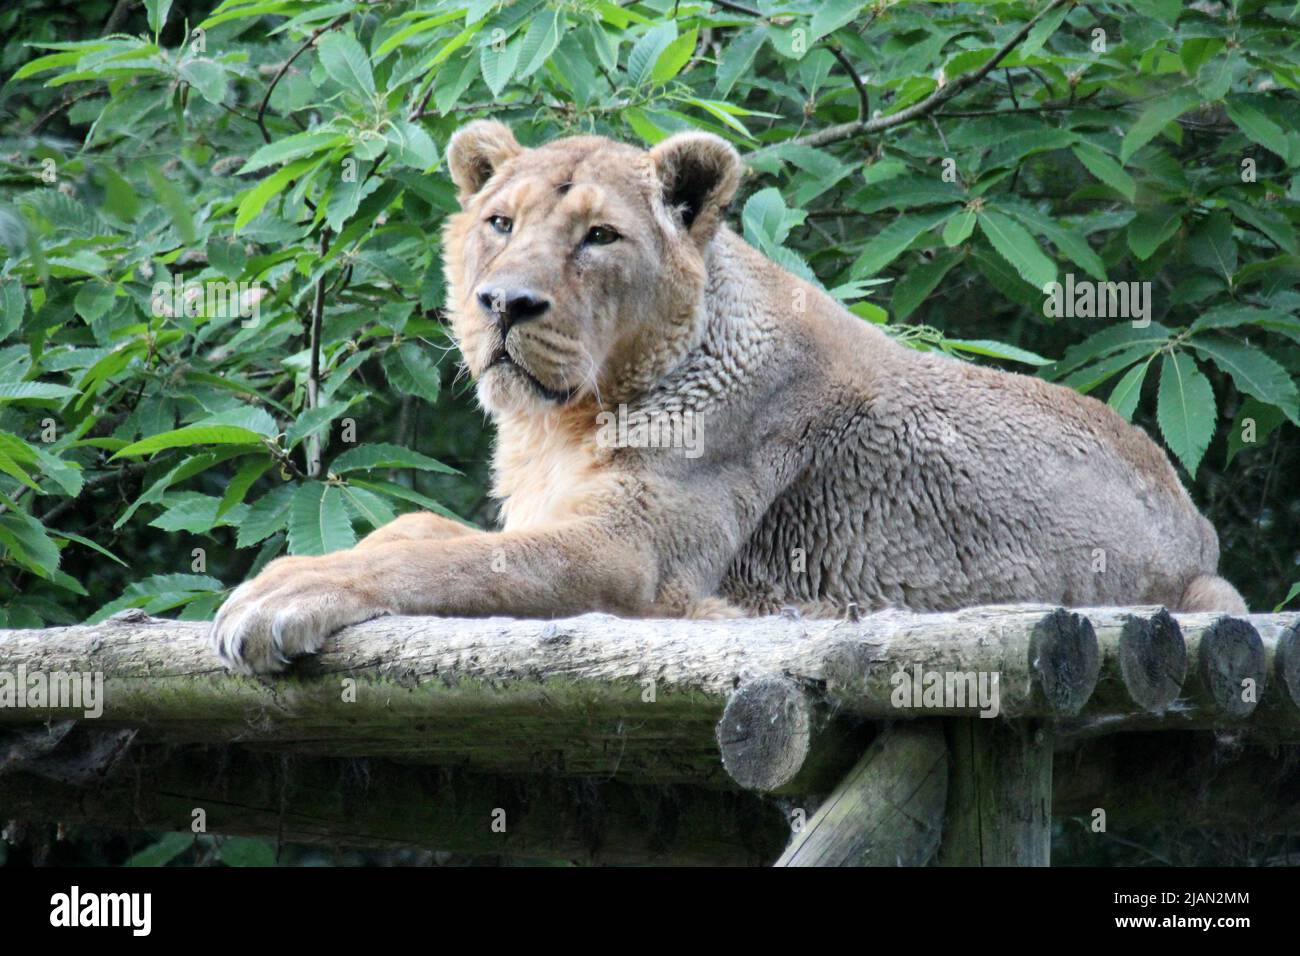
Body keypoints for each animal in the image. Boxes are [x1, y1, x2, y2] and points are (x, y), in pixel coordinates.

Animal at [211, 120, 1246, 674]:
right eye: (499, 221)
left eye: (598, 236)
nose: (504, 304)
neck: (562, 422)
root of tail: (1197, 520)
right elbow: (413, 531)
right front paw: (282, 574)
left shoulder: (625, 553)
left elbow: (450, 562)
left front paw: (279, 596)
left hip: (1204, 596)